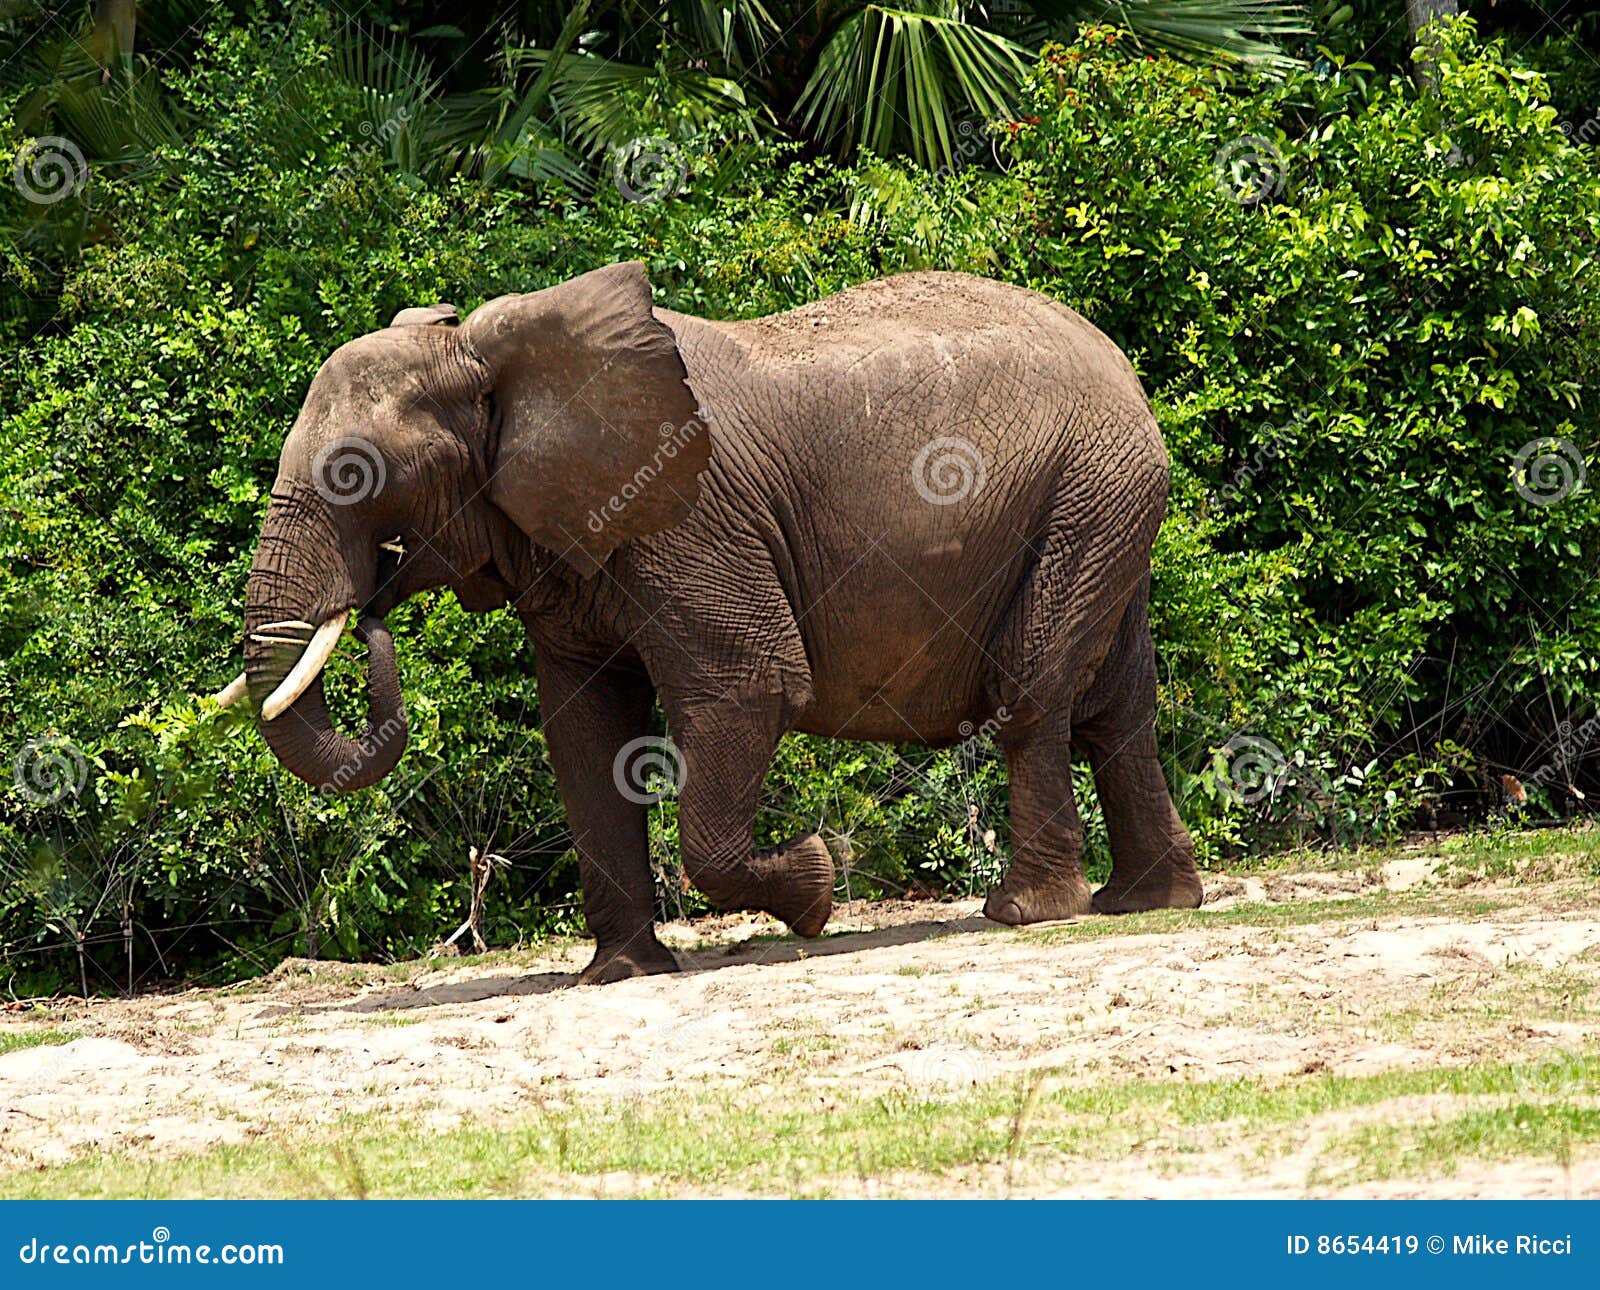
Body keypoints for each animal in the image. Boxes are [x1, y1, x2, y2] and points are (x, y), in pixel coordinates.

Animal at [215, 262, 1203, 984]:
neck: (490, 353)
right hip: (1104, 502)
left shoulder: (688, 515)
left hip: (1087, 492)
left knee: (1033, 695)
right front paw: (620, 975)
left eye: (355, 474)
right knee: (1118, 705)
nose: (371, 607)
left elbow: (749, 686)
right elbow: (585, 730)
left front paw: (814, 890)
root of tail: (1124, 372)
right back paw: (1149, 902)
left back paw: (1028, 912)